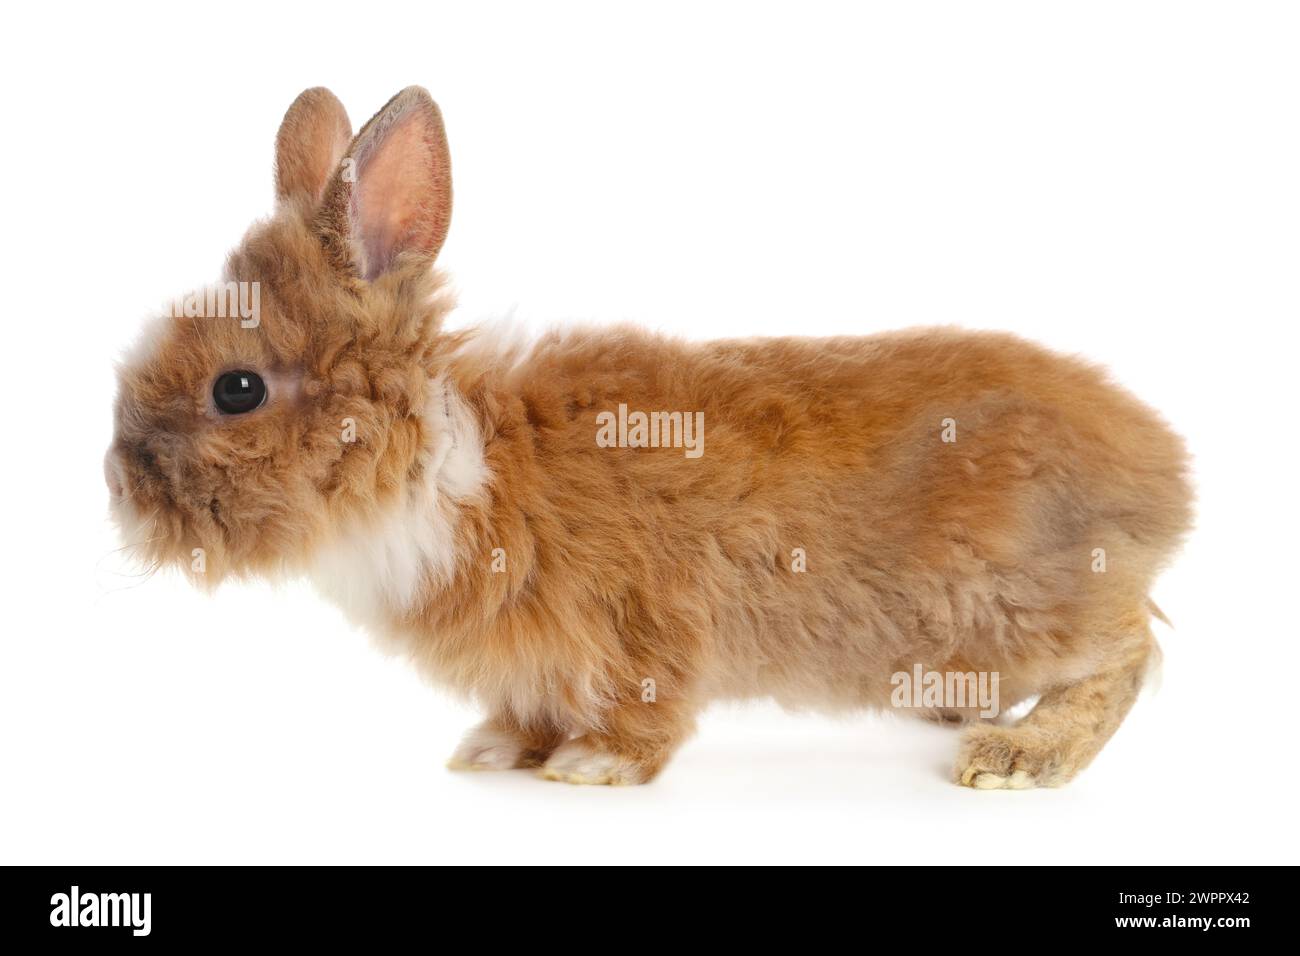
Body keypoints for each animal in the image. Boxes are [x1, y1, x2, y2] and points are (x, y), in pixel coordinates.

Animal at [105, 86, 1192, 789]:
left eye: (237, 388)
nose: (117, 485)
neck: (447, 465)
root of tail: (1166, 474)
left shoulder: (644, 623)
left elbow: (644, 713)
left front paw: (590, 766)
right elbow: (527, 709)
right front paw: (496, 750)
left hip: (1022, 604)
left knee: (1130, 653)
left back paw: (1017, 756)